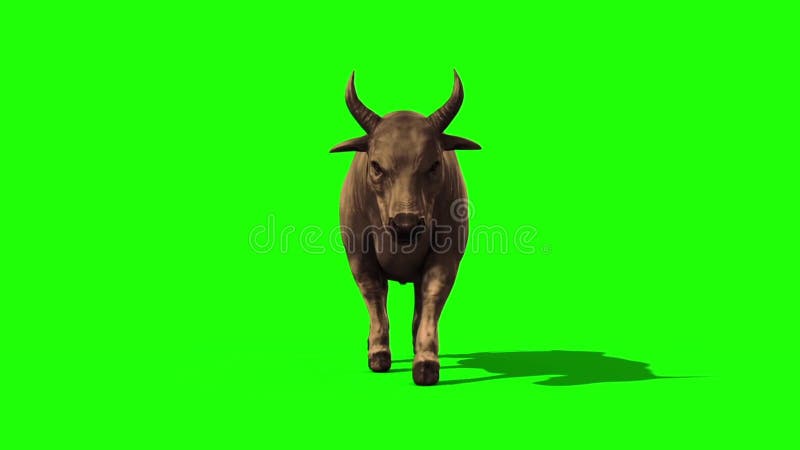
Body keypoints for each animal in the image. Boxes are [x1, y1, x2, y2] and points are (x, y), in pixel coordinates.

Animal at [330, 70, 481, 385]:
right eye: (376, 166)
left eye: (434, 165)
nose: (405, 225)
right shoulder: (360, 256)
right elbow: (375, 297)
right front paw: (378, 354)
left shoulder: (446, 257)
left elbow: (431, 297)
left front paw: (425, 363)